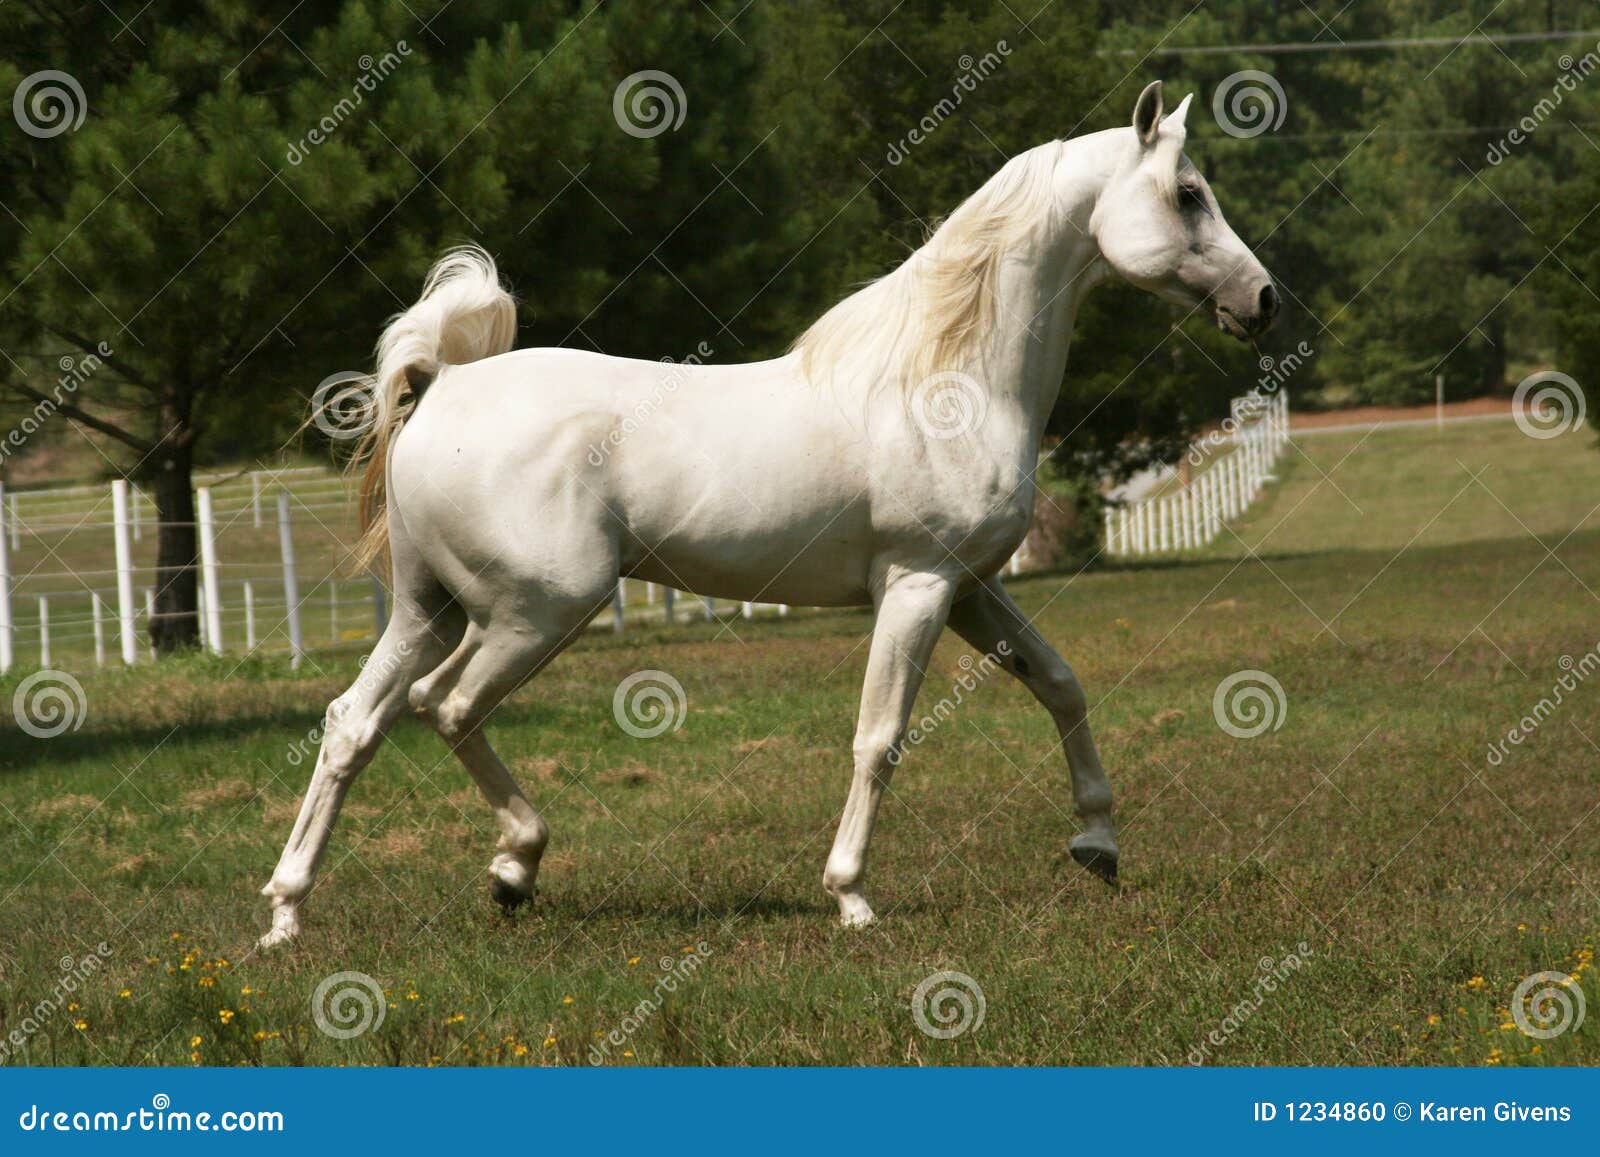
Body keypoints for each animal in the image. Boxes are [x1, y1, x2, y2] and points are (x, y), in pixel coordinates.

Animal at [258, 80, 1277, 948]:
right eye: (1189, 193)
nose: (1263, 300)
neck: (947, 381)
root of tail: (446, 385)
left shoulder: (970, 589)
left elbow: (1060, 682)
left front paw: (1097, 846)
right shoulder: (917, 587)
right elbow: (880, 737)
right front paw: (852, 896)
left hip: (428, 610)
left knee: (354, 722)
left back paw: (288, 913)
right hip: (535, 612)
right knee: (447, 705)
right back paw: (513, 868)